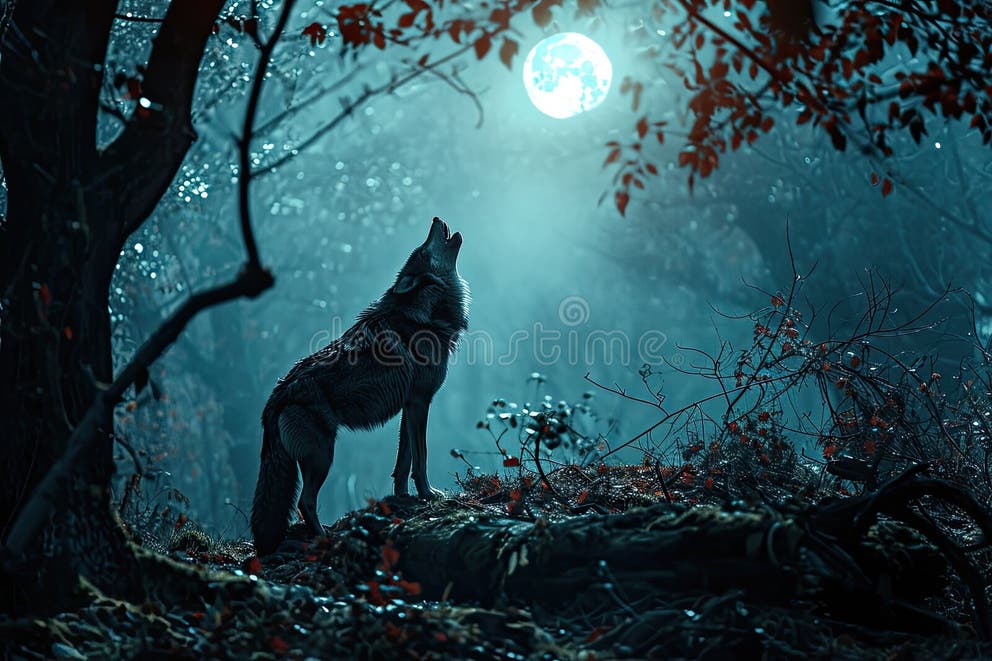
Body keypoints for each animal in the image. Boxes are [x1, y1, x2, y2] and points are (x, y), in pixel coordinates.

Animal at [251, 217, 469, 555]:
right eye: (422, 249)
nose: (435, 219)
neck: (427, 317)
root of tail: (277, 394)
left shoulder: (409, 407)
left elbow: (403, 462)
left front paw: (403, 498)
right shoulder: (421, 401)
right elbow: (421, 457)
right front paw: (428, 495)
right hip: (323, 455)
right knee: (304, 502)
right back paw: (326, 538)